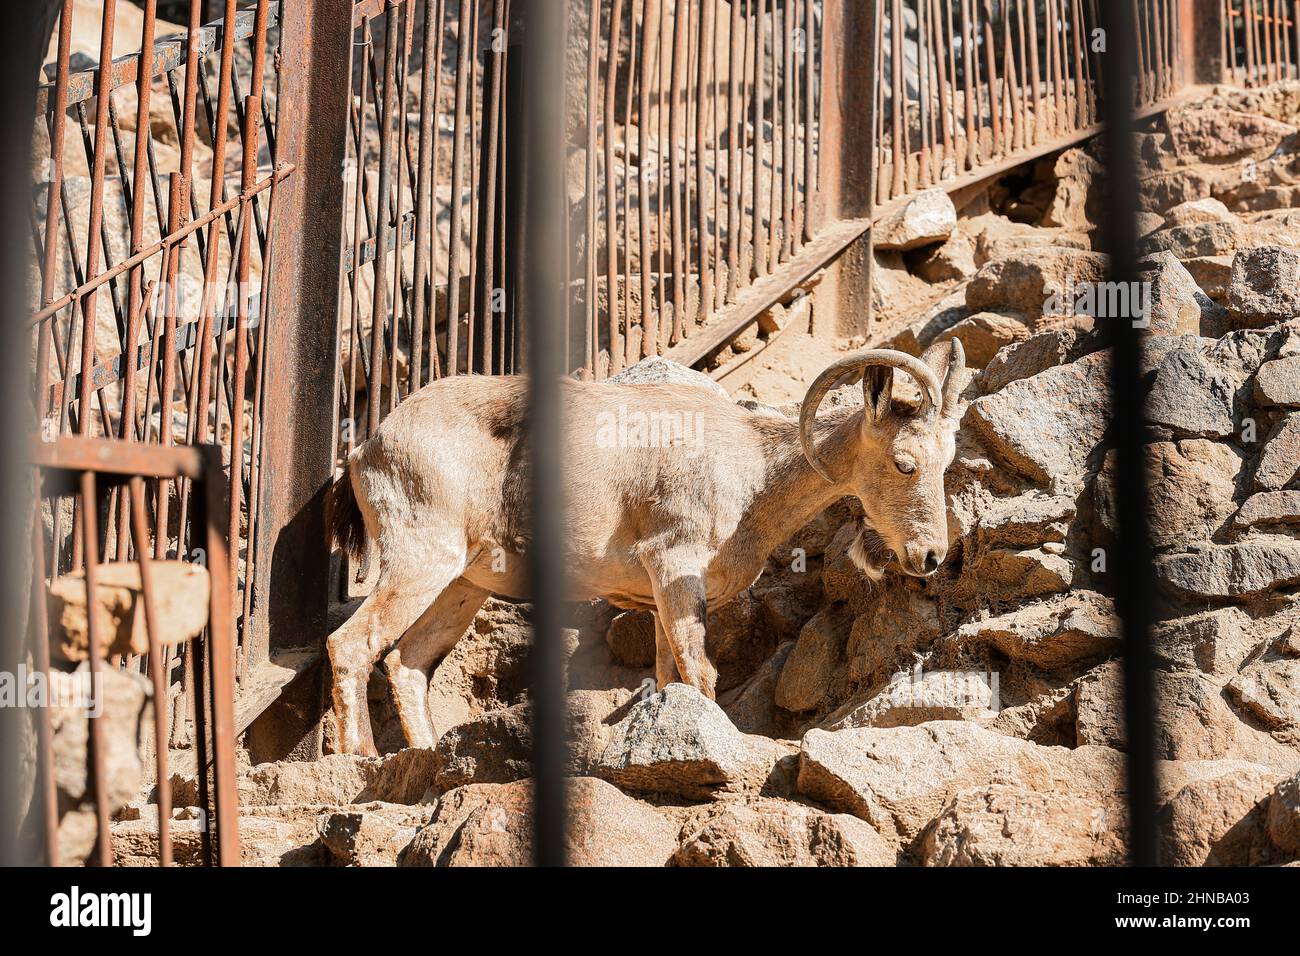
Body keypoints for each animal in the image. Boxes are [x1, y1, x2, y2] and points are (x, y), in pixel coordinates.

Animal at [324, 339, 966, 755]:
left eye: (947, 459)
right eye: (904, 462)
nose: (930, 556)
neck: (753, 472)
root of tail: (367, 449)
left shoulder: (664, 599)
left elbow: (670, 675)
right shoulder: (674, 565)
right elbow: (702, 673)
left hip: (463, 584)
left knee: (407, 663)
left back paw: (425, 758)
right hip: (420, 559)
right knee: (351, 644)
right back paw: (360, 760)